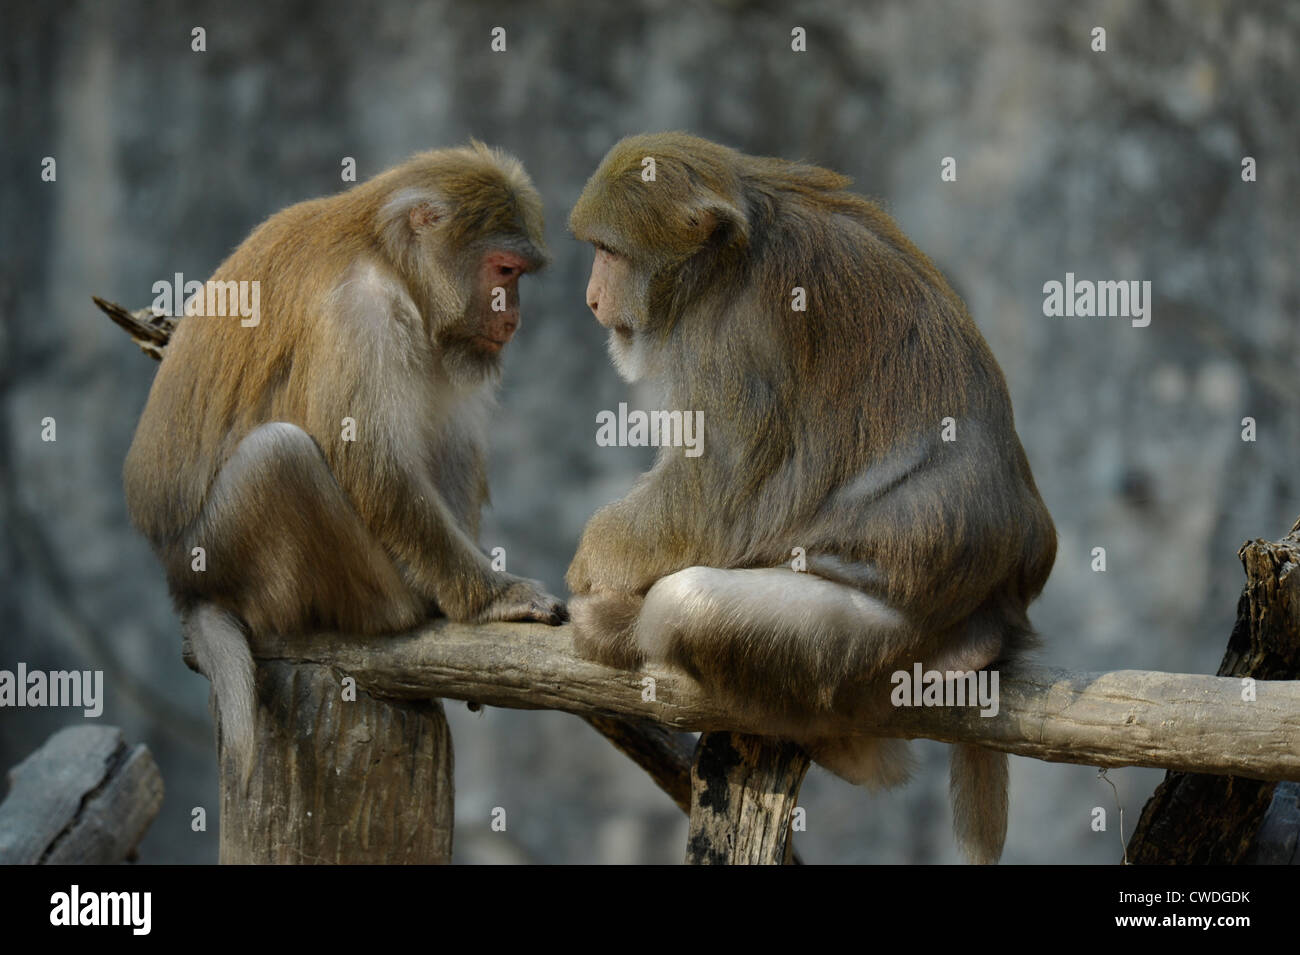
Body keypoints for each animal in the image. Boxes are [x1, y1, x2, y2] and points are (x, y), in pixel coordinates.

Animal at [123, 142, 566, 784]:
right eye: (505, 271)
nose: (514, 316)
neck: (387, 255)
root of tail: (182, 583)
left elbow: (448, 440)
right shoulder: (360, 308)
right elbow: (372, 463)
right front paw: (491, 599)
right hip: (218, 552)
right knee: (280, 457)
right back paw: (396, 610)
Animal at [564, 132, 1056, 864]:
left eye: (611, 252)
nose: (593, 299)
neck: (730, 254)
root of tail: (1005, 602)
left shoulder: (736, 338)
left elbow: (712, 501)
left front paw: (591, 564)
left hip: (878, 643)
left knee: (693, 605)